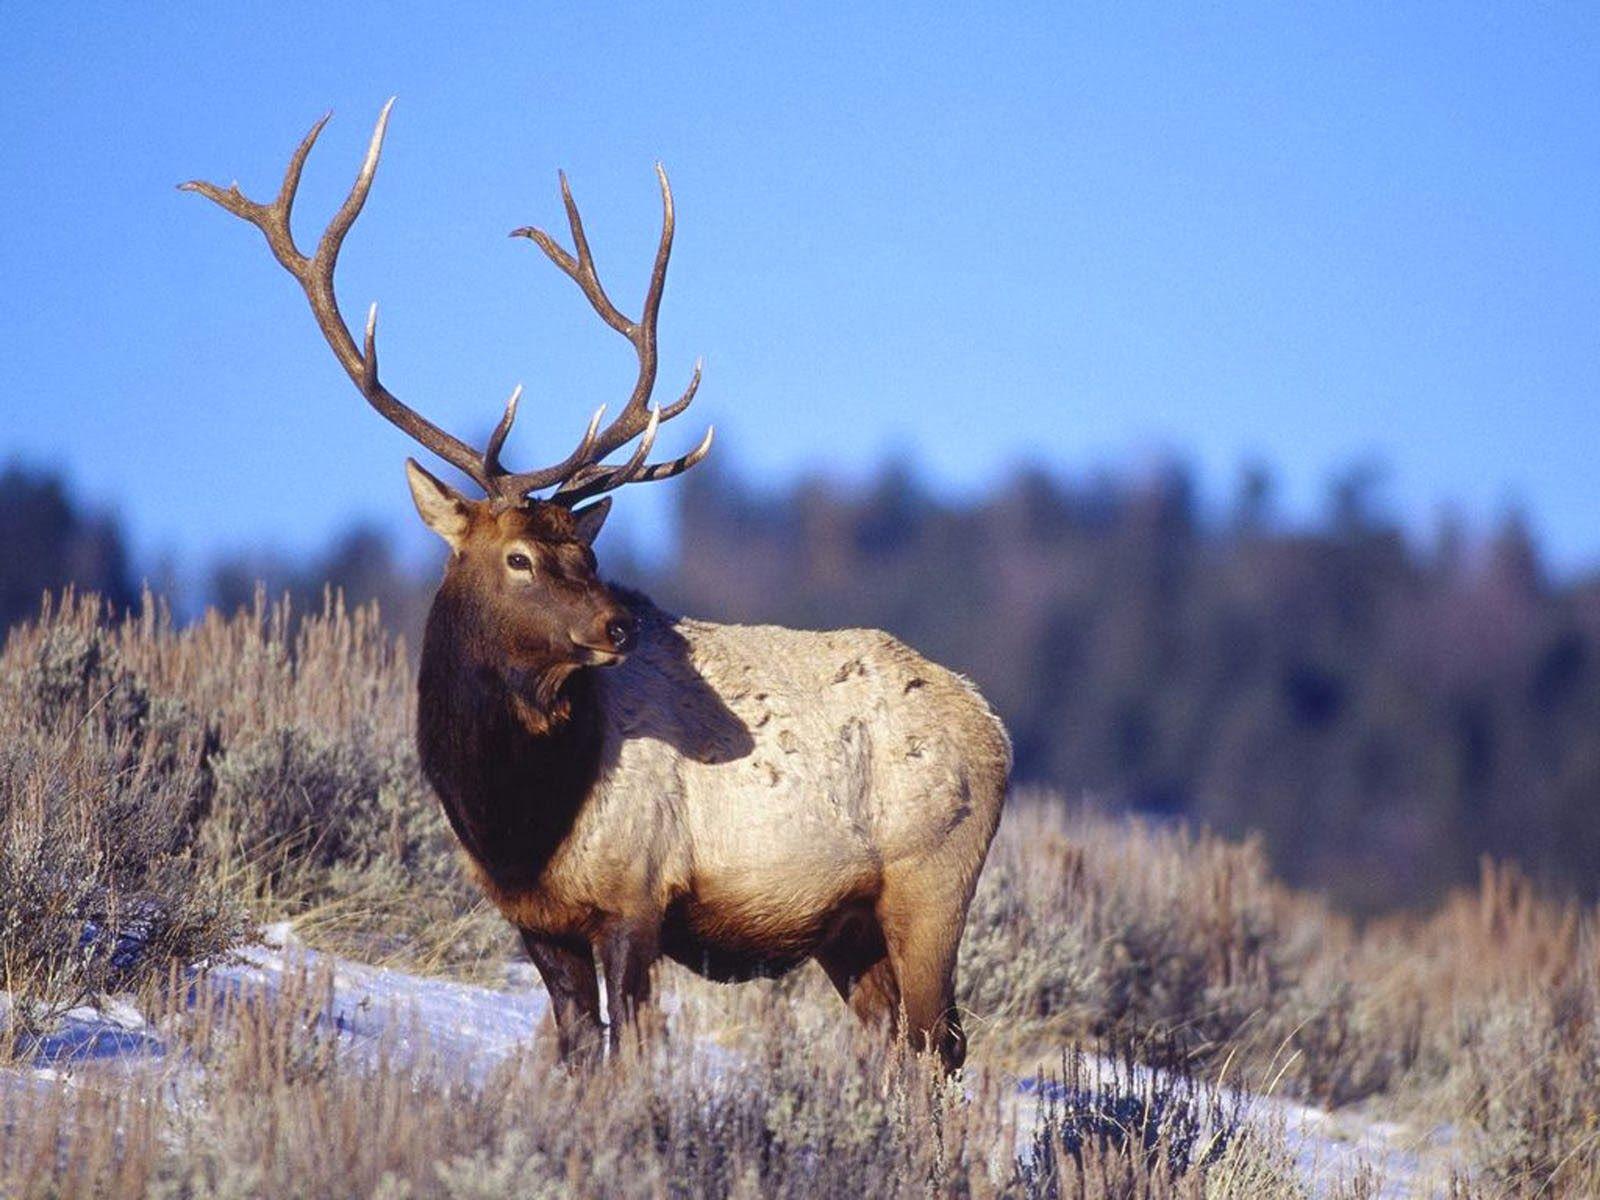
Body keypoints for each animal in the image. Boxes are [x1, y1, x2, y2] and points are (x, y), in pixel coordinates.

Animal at [184, 101, 1010, 1071]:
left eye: (584, 547)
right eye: (520, 557)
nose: (621, 626)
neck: (516, 818)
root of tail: (995, 728)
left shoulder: (636, 894)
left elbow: (633, 1055)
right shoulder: (536, 921)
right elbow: (579, 1051)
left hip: (931, 884)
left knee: (937, 1048)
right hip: (848, 930)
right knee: (903, 1050)